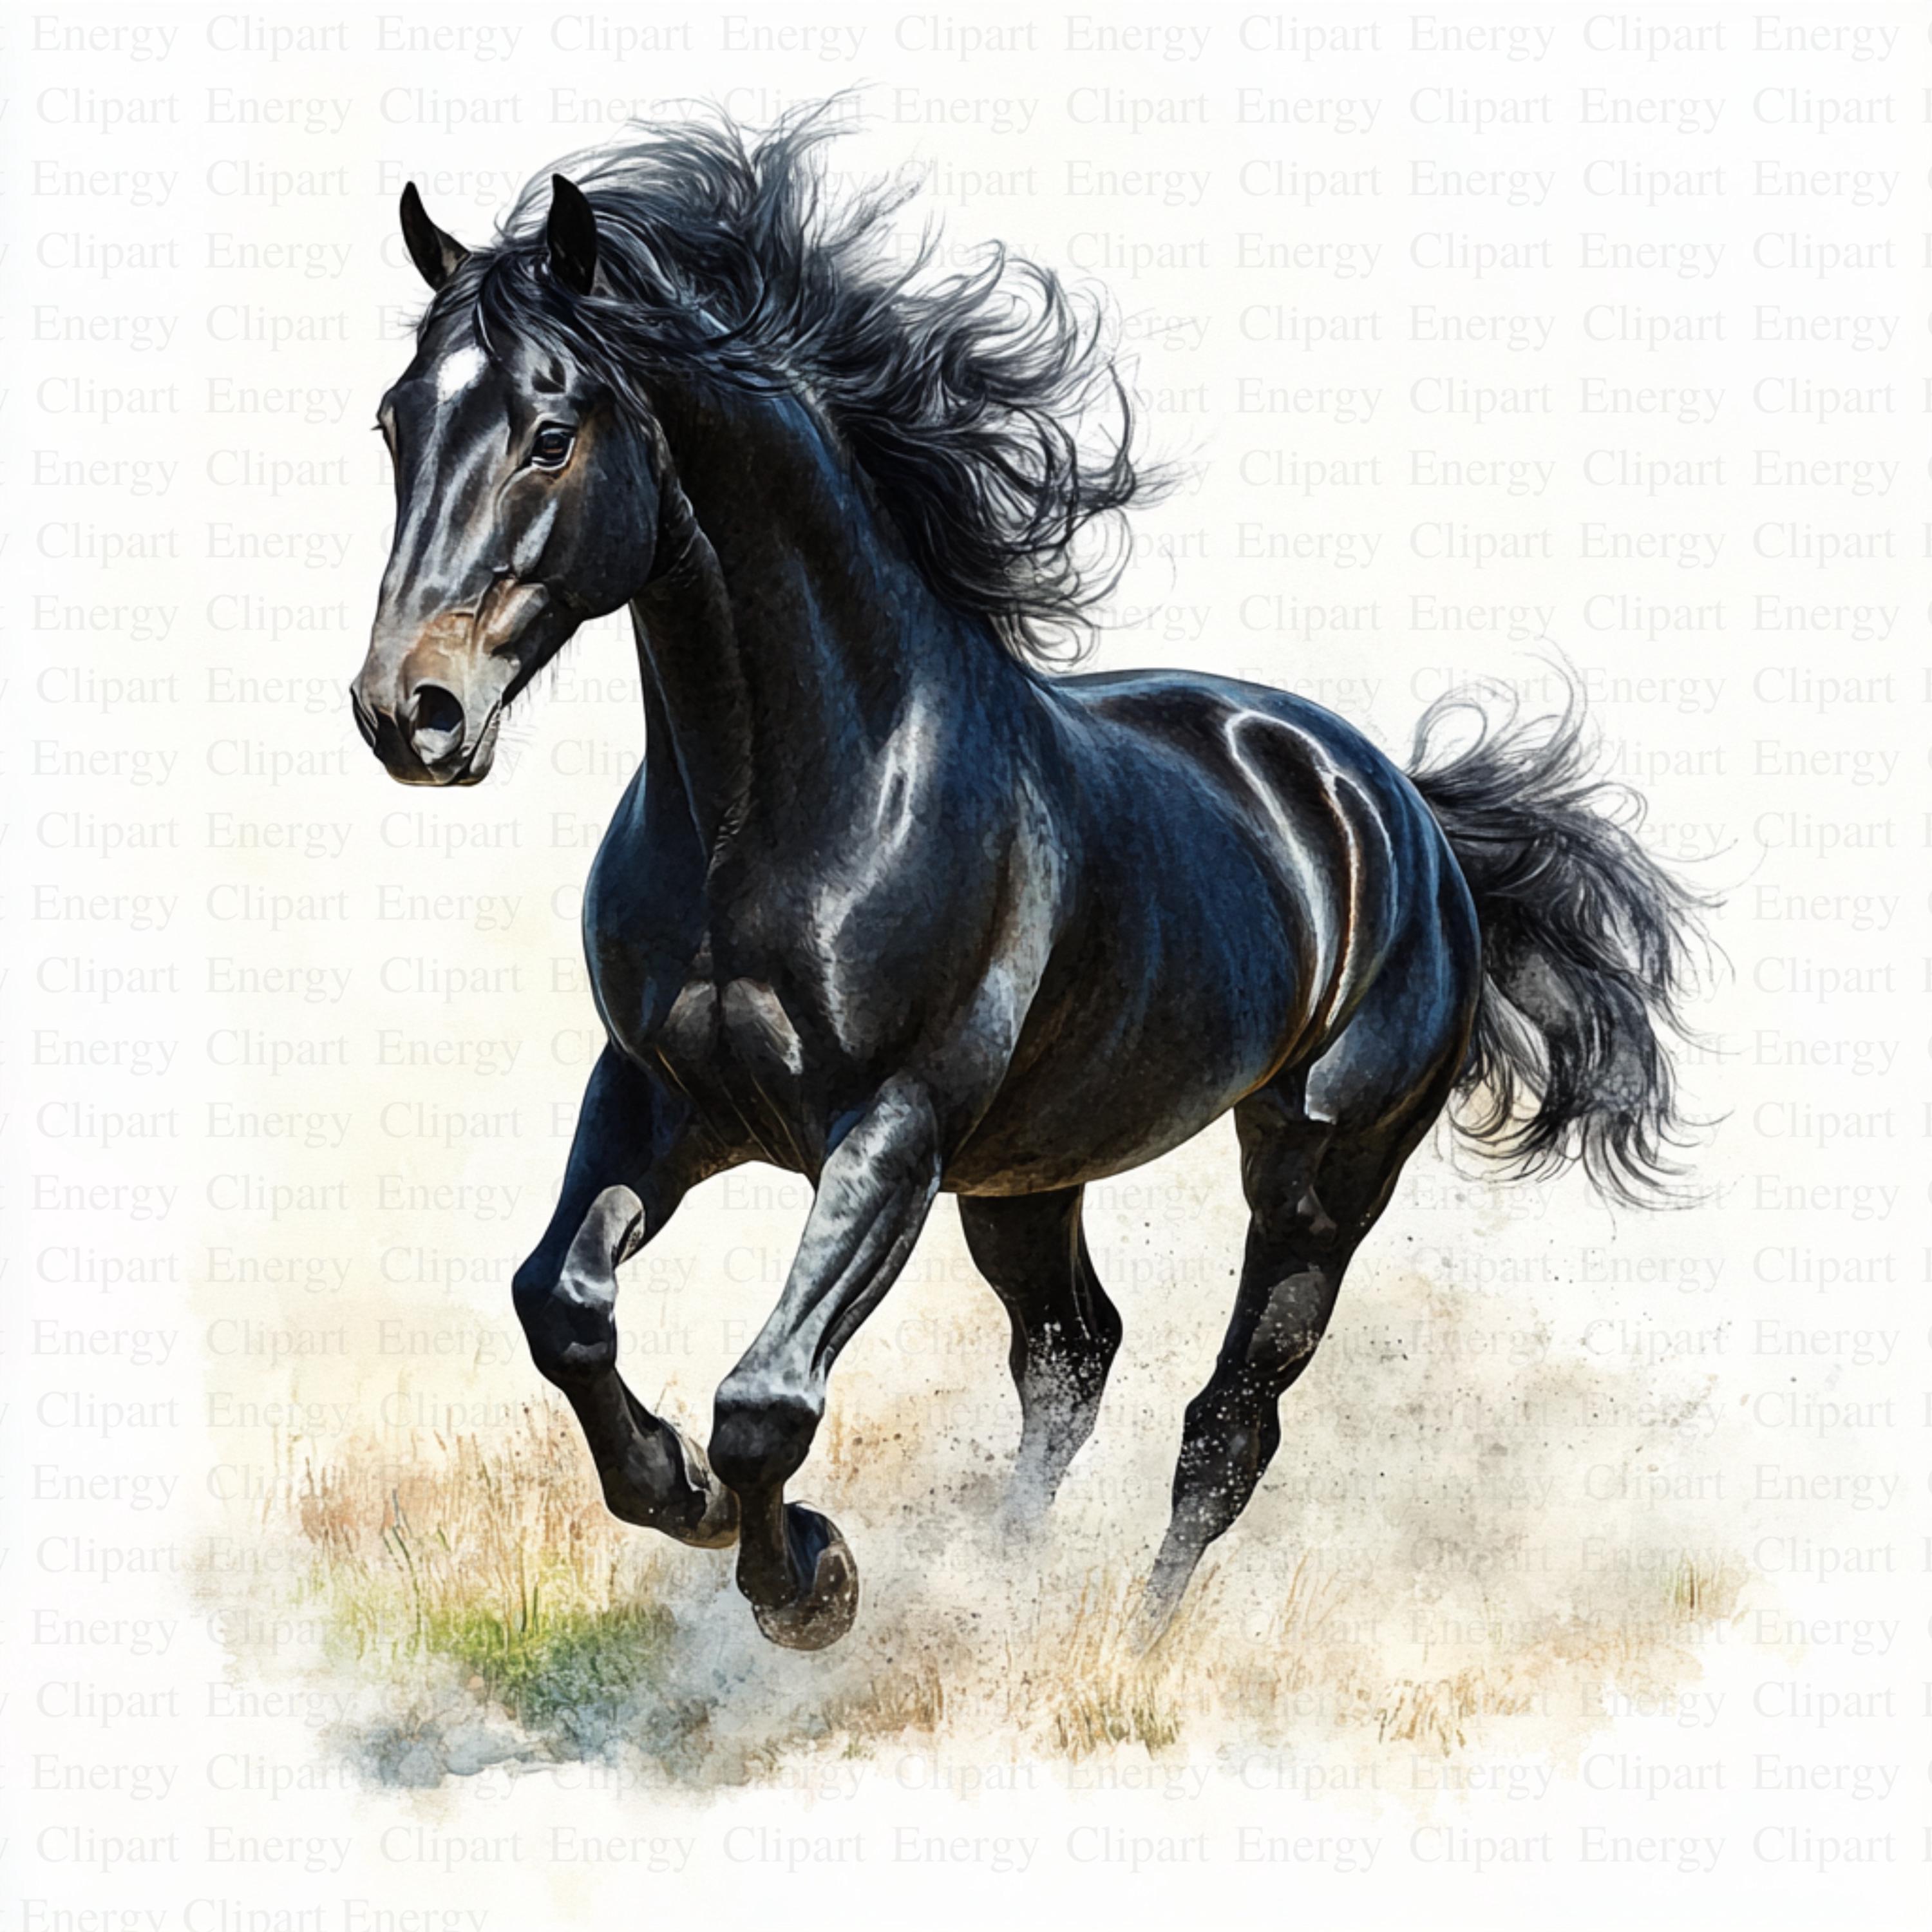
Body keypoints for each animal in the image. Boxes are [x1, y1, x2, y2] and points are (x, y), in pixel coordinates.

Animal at [350, 109, 1703, 1651]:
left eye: (550, 434)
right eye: (396, 422)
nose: (410, 714)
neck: (785, 806)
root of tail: (1399, 807)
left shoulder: (893, 1131)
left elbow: (767, 1402)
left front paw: (807, 1581)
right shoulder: (661, 1096)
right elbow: (561, 1306)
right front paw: (677, 1492)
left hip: (1319, 1174)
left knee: (1225, 1425)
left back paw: (1121, 1650)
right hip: (1028, 1177)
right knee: (1072, 1355)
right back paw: (999, 1587)